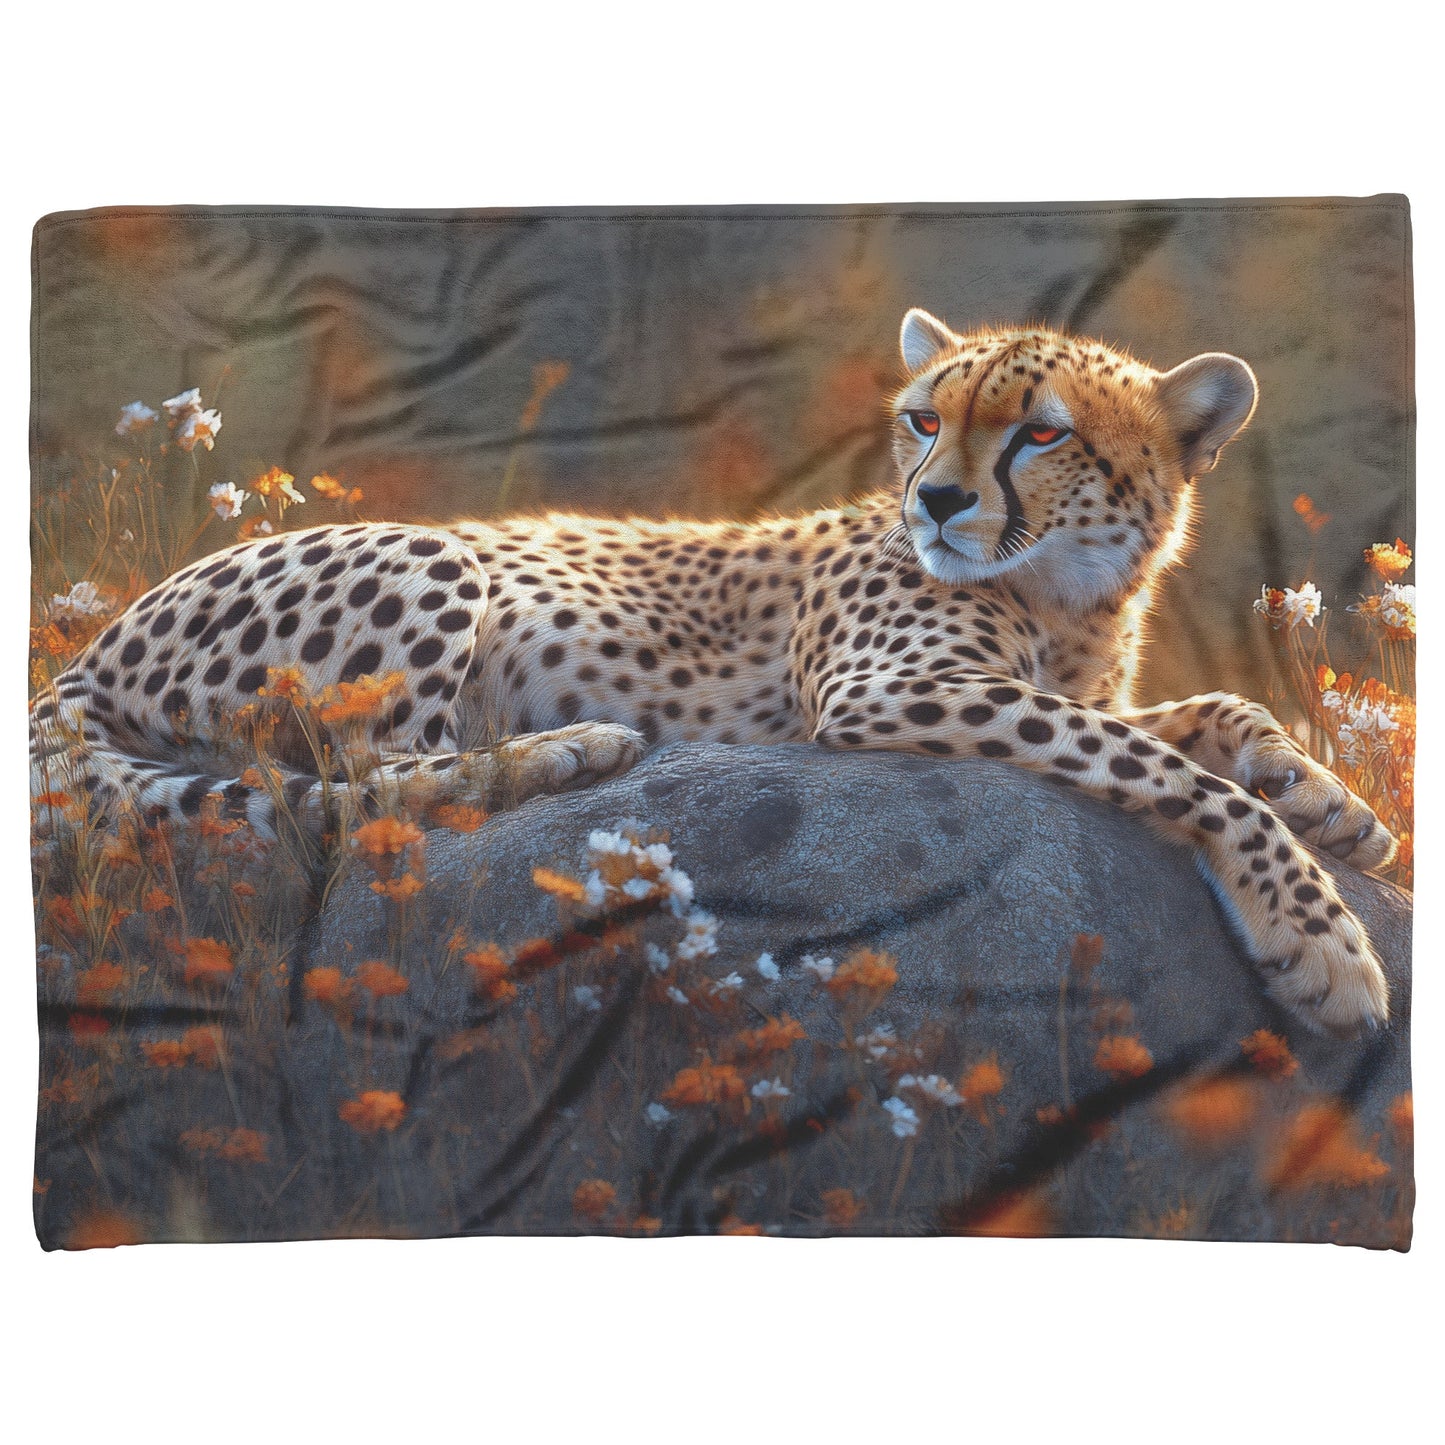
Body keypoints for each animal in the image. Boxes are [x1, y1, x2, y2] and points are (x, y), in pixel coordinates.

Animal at [30, 309, 1398, 1037]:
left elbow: (1207, 712)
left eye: (1039, 431)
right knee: (367, 785)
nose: (937, 500)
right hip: (431, 554)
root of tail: (89, 640)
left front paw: (1336, 805)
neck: (1068, 594)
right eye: (922, 418)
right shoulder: (889, 691)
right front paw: (1317, 936)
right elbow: (1170, 768)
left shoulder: (1061, 684)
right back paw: (566, 748)